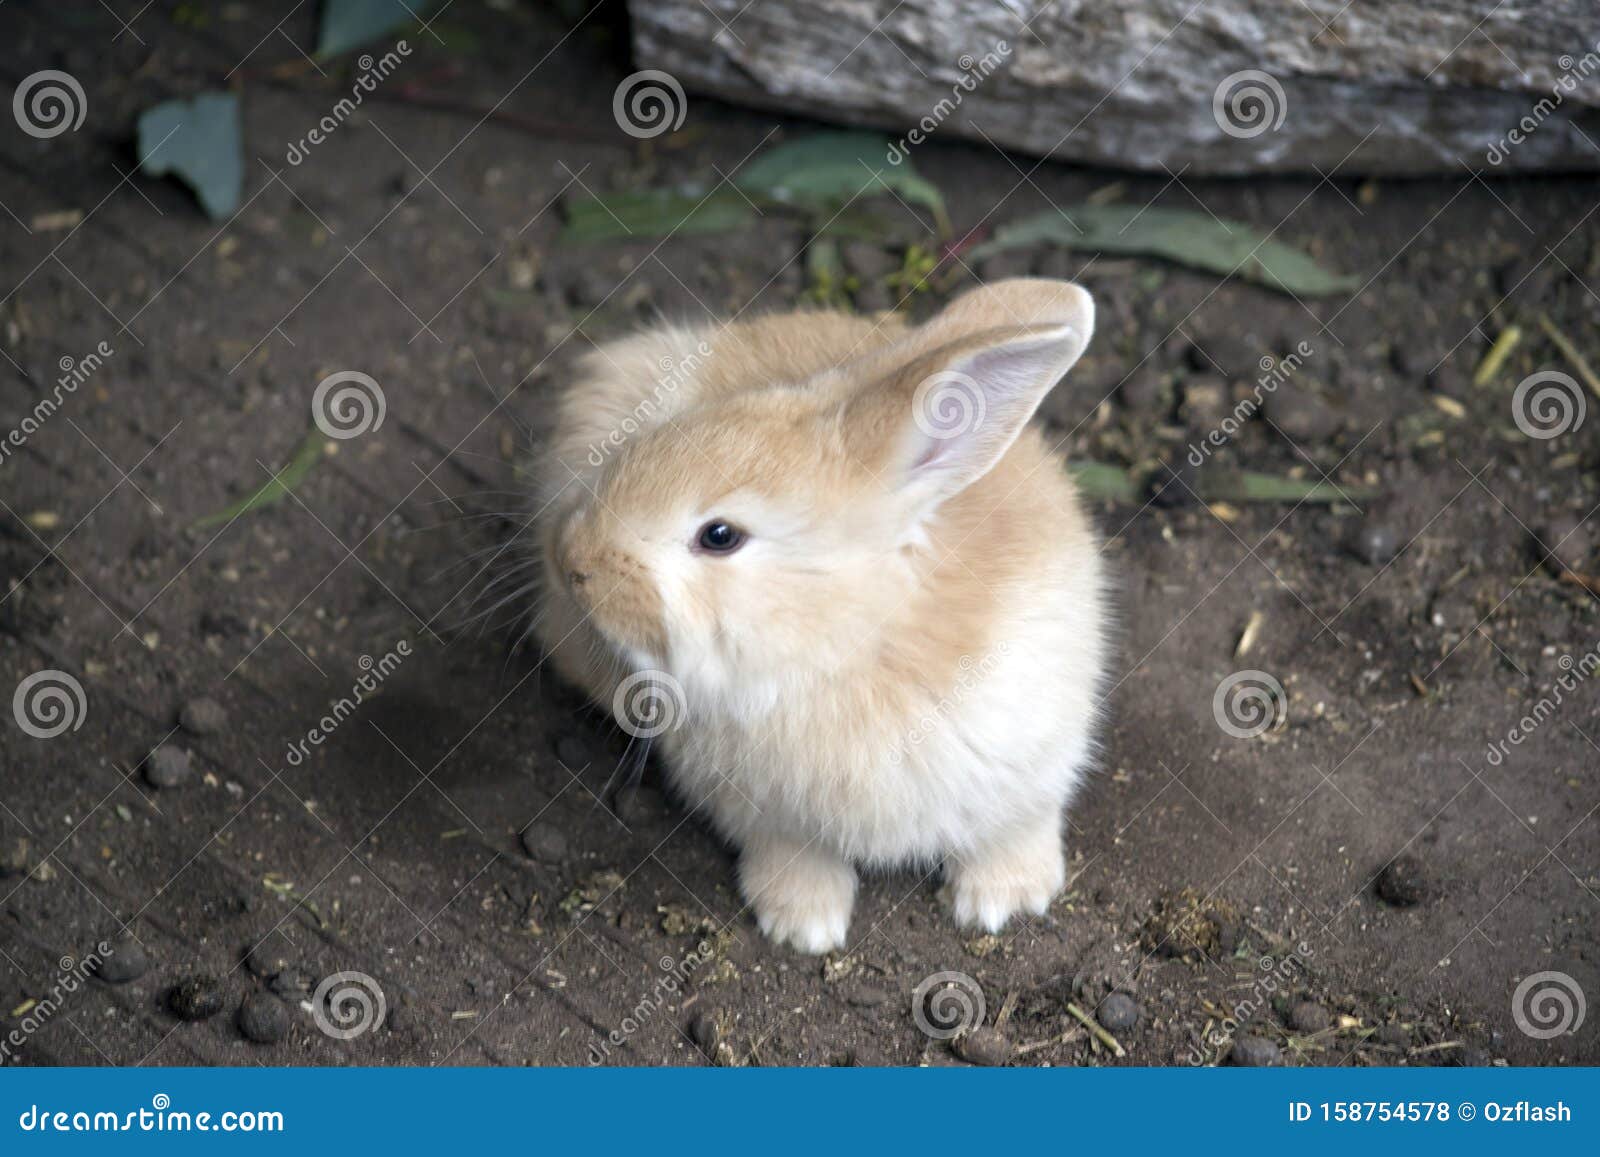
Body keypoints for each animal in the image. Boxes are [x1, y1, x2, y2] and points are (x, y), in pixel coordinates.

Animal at [532, 278, 1109, 954]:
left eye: (720, 536)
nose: (572, 559)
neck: (857, 644)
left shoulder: (1031, 771)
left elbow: (1015, 829)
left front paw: (1008, 900)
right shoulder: (770, 817)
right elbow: (792, 857)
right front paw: (803, 924)